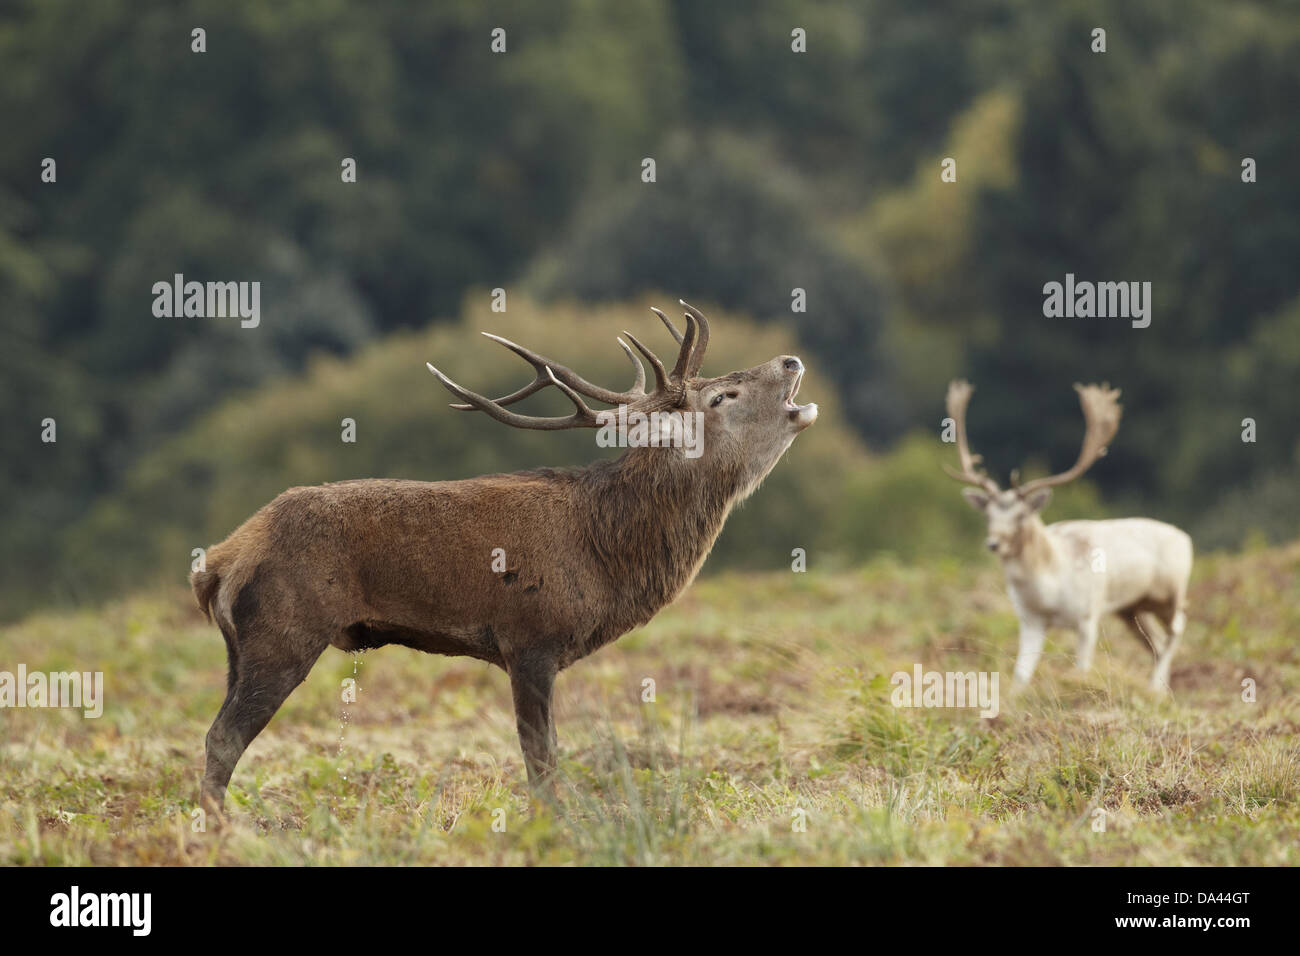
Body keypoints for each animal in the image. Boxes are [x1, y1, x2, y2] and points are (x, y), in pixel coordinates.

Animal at [191, 301, 818, 814]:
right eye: (721, 397)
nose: (791, 360)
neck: (606, 555)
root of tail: (218, 562)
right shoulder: (530, 637)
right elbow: (541, 761)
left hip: (239, 648)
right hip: (285, 630)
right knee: (223, 737)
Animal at [943, 380, 1192, 693]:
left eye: (1022, 516)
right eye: (987, 515)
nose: (994, 543)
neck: (1050, 593)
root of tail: (1186, 538)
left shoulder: (1088, 616)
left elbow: (1081, 669)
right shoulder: (1030, 621)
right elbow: (1021, 675)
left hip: (1171, 593)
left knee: (1177, 630)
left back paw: (1155, 689)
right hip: (1132, 609)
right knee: (1156, 642)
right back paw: (1159, 689)